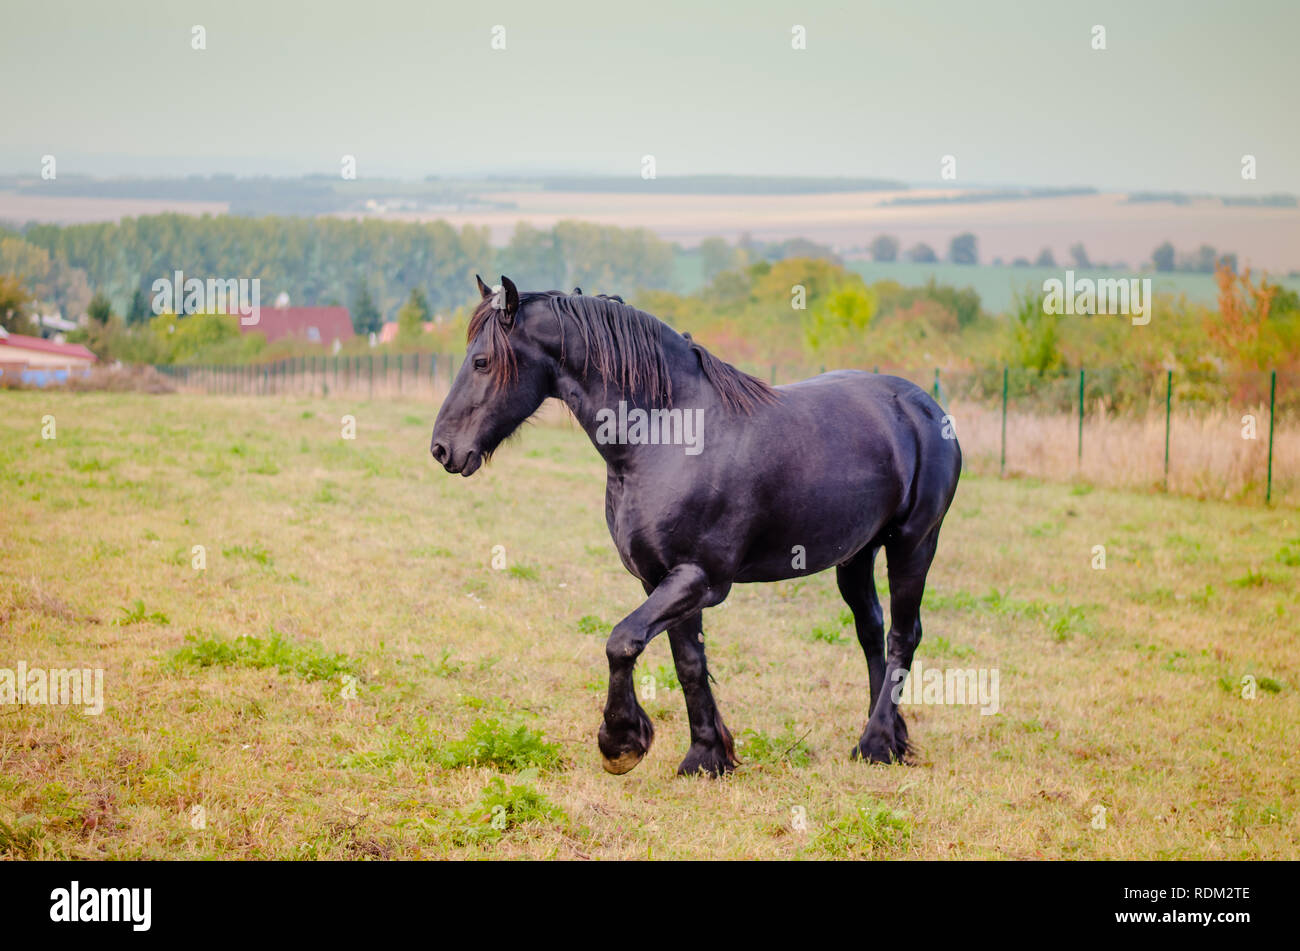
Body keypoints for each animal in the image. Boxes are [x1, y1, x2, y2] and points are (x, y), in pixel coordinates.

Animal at [430, 275, 962, 777]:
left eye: (481, 362)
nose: (442, 449)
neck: (666, 434)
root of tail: (925, 407)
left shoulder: (699, 578)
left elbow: (622, 641)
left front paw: (622, 742)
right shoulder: (660, 578)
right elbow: (687, 662)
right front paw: (706, 756)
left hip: (914, 544)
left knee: (903, 635)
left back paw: (875, 744)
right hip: (856, 555)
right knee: (871, 631)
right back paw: (889, 736)